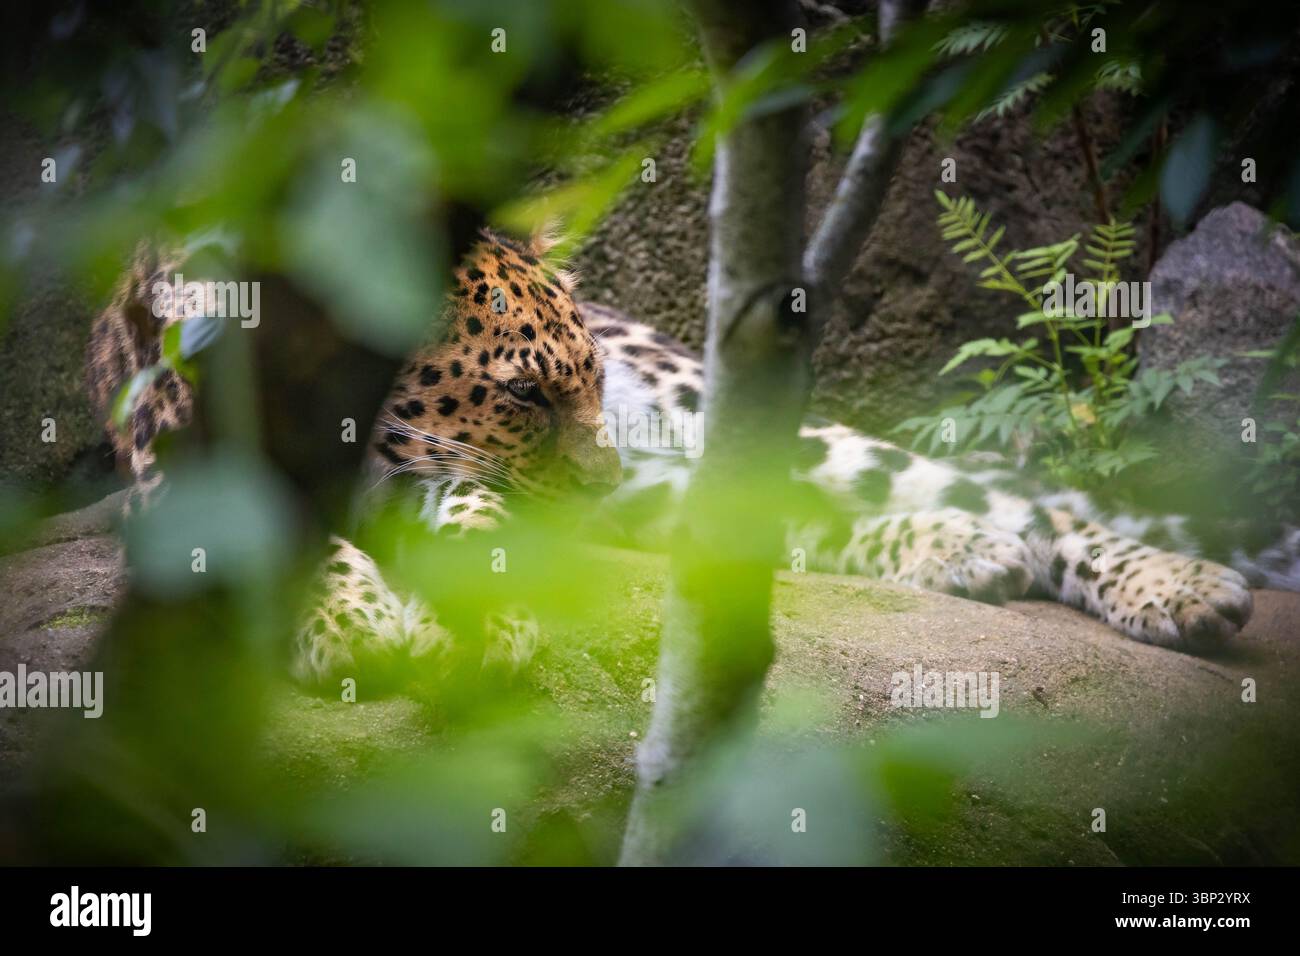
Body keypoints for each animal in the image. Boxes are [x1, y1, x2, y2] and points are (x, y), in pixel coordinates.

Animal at [86, 230, 1298, 691]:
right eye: (522, 393)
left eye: (578, 380)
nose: (593, 470)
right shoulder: (181, 481)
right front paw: (348, 620)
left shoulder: (453, 476)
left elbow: (476, 523)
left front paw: (485, 616)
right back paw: (963, 550)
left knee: (1043, 513)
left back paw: (1177, 588)